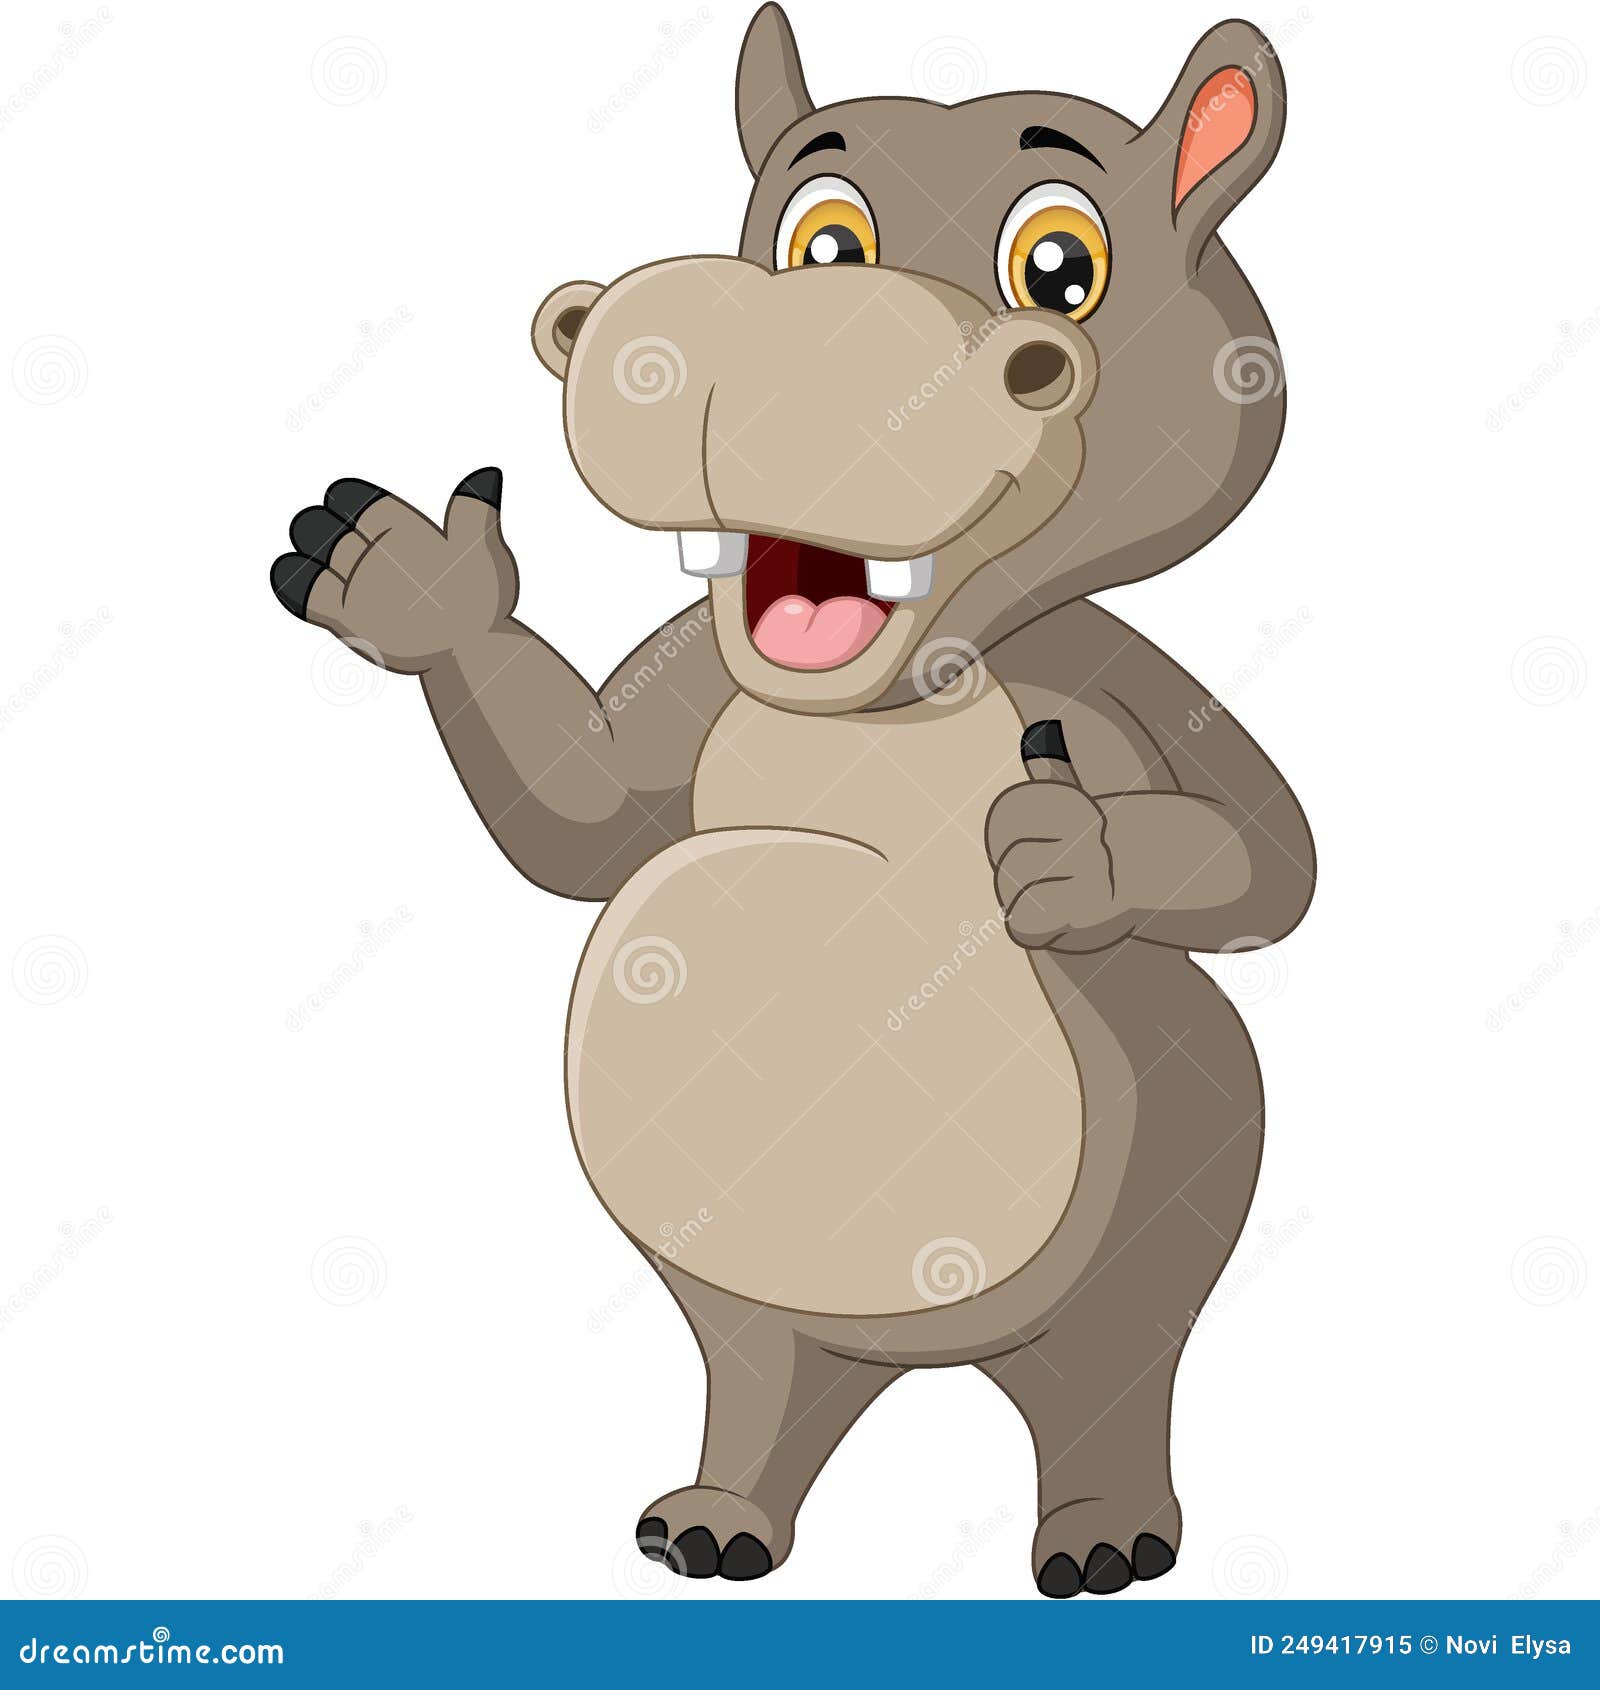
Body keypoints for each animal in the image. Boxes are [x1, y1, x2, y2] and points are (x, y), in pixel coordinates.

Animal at [270, 5, 1315, 1597]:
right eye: (818, 239)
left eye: (1058, 270)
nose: (736, 341)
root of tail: (932, 1352)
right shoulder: (694, 677)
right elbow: (582, 818)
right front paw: (415, 583)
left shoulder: (1117, 672)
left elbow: (1274, 863)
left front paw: (1066, 848)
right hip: (740, 1302)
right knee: (762, 1382)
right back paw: (715, 1517)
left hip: (1171, 1213)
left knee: (1117, 1375)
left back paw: (1105, 1530)